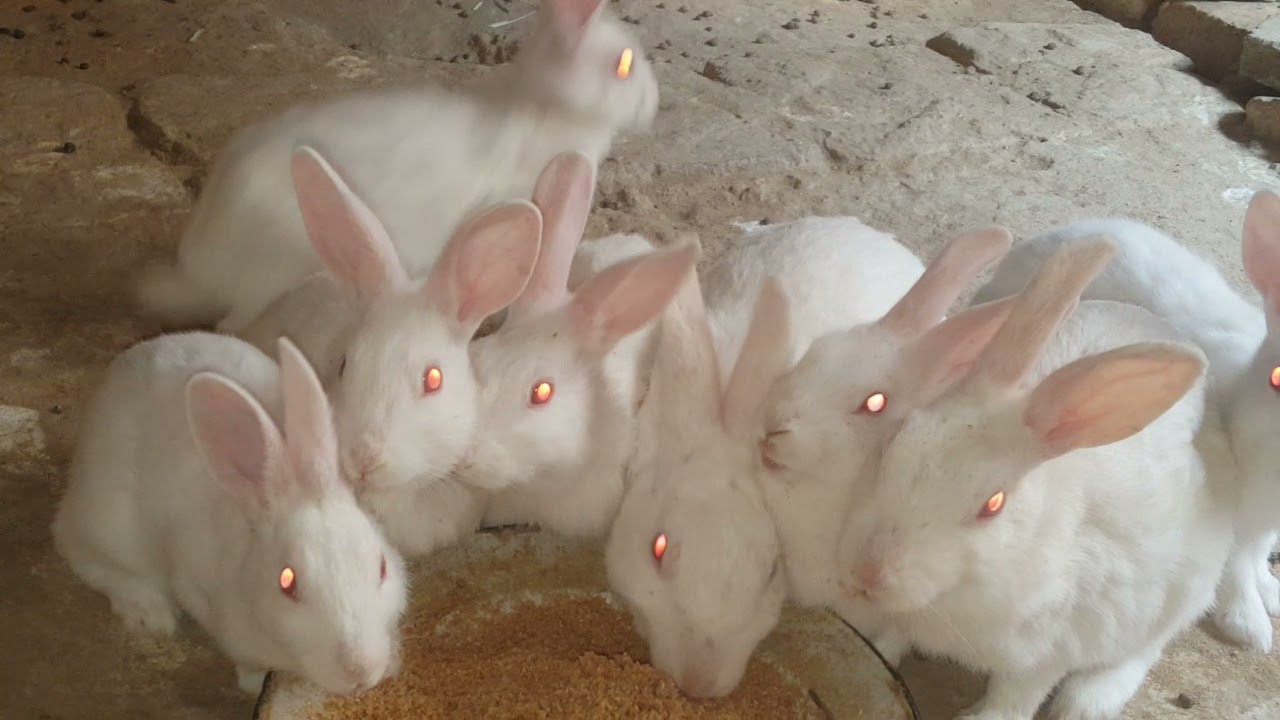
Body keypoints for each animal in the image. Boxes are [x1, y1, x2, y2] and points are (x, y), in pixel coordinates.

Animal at [51, 334, 409, 697]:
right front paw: (253, 684)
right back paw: (150, 614)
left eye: (381, 567)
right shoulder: (193, 580)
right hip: (111, 528)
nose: (360, 670)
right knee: (84, 557)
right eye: (287, 582)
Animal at [836, 236, 1233, 720]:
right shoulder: (904, 620)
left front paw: (982, 717)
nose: (868, 573)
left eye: (993, 504)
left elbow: (1015, 697)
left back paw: (1087, 701)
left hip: (1182, 591)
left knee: (1142, 649)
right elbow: (888, 643)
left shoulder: (1047, 653)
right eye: (893, 444)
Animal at [972, 194, 1280, 654]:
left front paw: (1272, 593)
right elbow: (1237, 565)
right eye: (1278, 377)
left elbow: (1257, 557)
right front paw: (1250, 626)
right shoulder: (1237, 514)